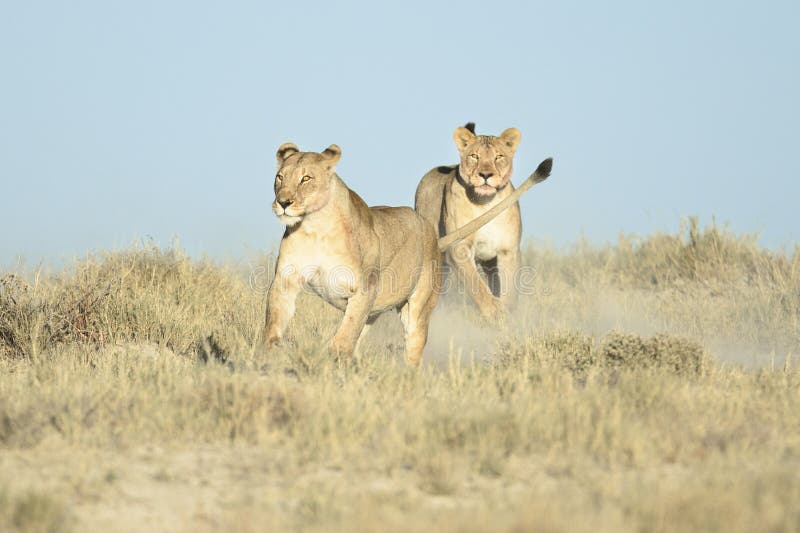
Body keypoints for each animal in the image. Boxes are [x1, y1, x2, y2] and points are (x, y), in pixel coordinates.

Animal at [262, 143, 440, 366]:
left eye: (306, 178)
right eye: (280, 177)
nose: (283, 202)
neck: (316, 226)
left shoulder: (364, 289)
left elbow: (346, 333)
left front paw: (336, 359)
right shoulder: (285, 279)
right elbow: (275, 317)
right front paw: (270, 351)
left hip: (418, 308)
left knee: (413, 345)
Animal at [415, 123, 526, 319]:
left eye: (498, 156)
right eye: (475, 156)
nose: (486, 174)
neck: (485, 203)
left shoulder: (508, 249)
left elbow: (510, 287)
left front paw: (508, 312)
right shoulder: (459, 248)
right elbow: (477, 285)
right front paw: (493, 311)